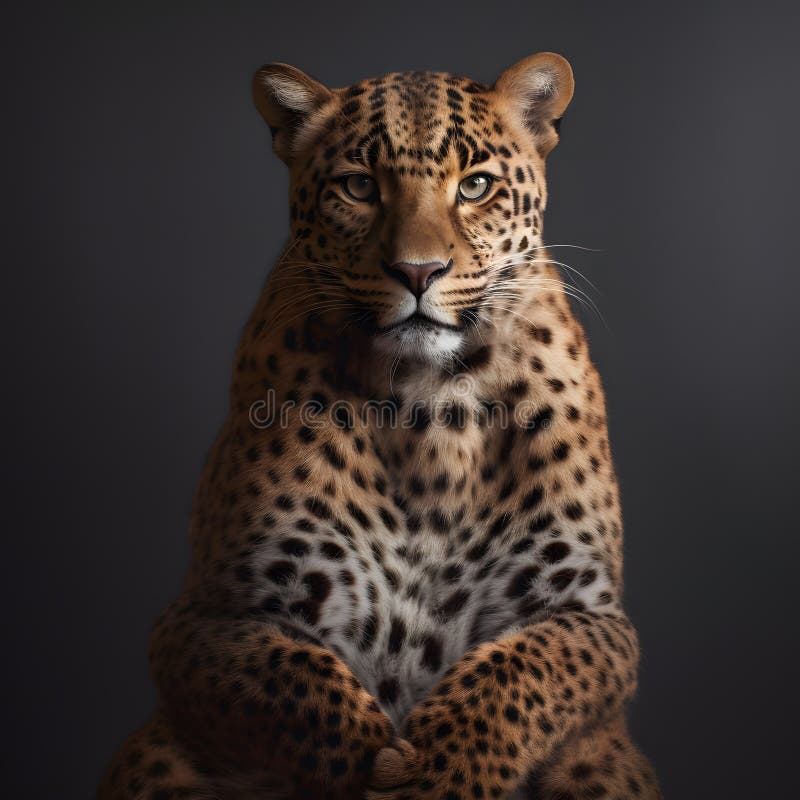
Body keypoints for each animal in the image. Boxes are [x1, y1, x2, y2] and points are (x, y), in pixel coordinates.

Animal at [98, 53, 662, 800]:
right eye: (359, 186)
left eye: (476, 185)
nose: (418, 272)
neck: (431, 410)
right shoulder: (205, 623)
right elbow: (306, 690)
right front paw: (388, 765)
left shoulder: (588, 617)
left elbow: (512, 679)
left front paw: (435, 772)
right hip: (153, 752)